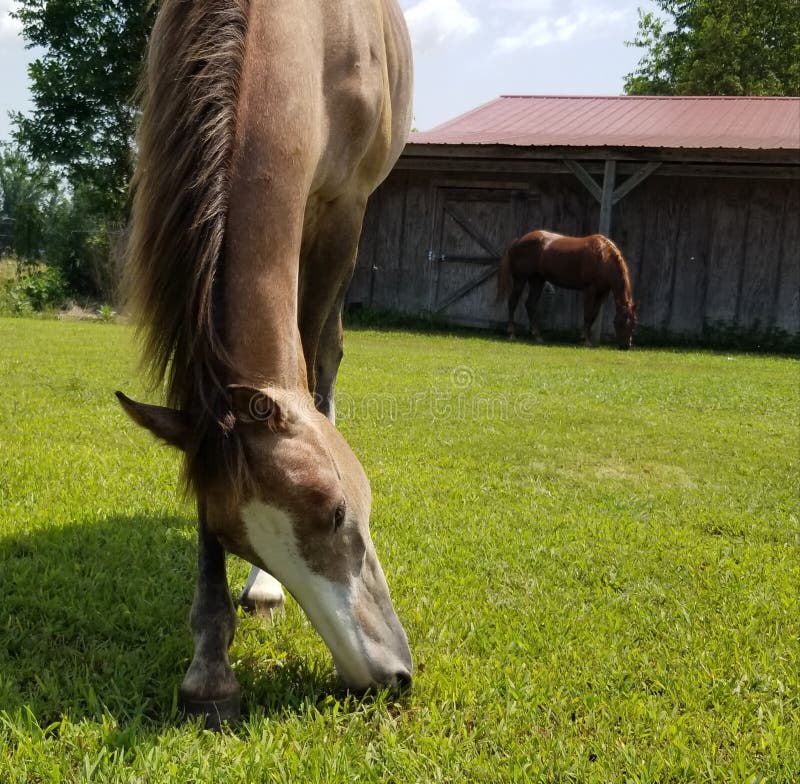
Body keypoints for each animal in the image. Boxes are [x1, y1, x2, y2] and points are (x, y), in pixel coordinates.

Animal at [116, 0, 413, 728]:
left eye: (336, 512)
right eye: (235, 540)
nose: (387, 677)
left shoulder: (343, 208)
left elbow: (315, 361)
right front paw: (210, 670)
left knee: (325, 354)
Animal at [497, 230, 638, 349]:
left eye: (634, 322)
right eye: (618, 322)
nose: (626, 346)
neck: (603, 257)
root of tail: (518, 241)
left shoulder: (602, 293)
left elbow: (594, 315)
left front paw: (586, 339)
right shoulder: (590, 290)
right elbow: (587, 314)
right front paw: (584, 340)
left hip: (537, 280)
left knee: (530, 304)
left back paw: (537, 336)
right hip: (521, 278)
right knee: (513, 302)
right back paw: (512, 334)